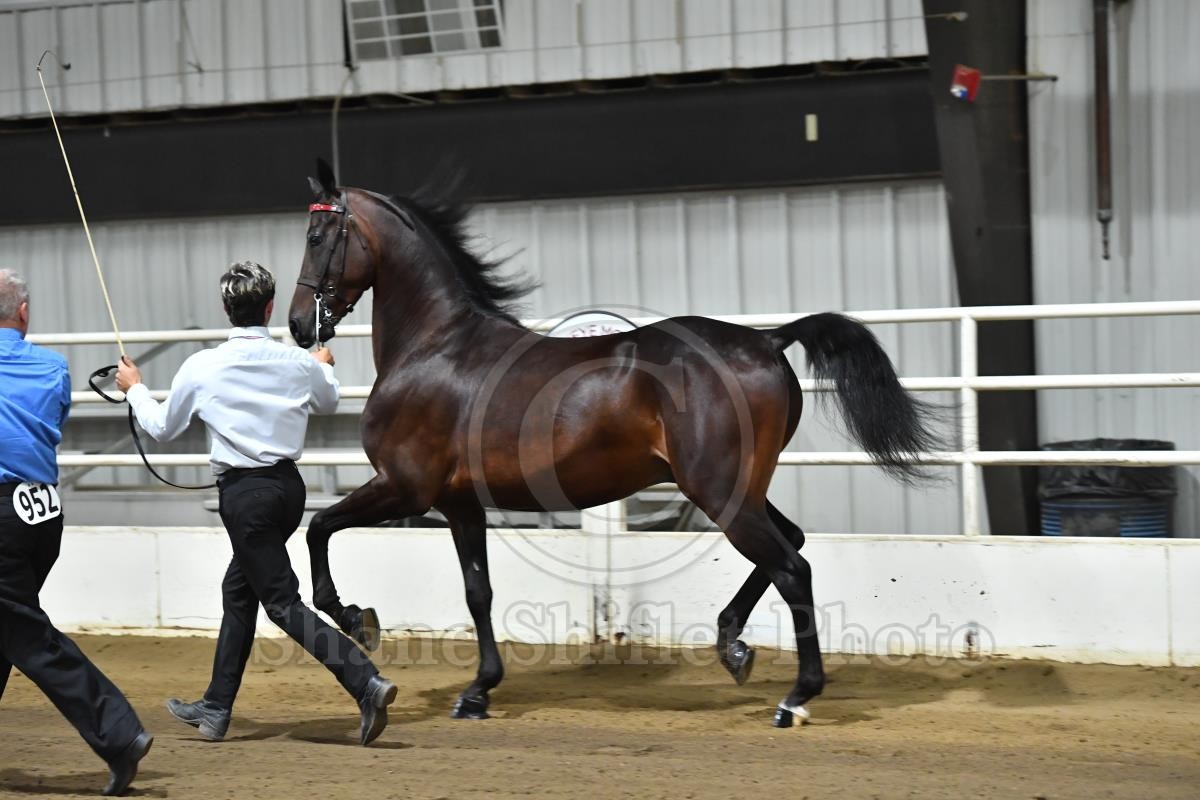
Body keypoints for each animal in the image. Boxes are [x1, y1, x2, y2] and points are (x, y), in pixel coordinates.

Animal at [287, 160, 938, 727]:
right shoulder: (459, 503)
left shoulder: (405, 488)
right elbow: (478, 592)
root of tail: (768, 340)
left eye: (317, 235)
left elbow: (319, 529)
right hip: (742, 489)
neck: (436, 347)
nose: (297, 325)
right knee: (791, 545)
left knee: (792, 566)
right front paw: (477, 692)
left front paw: (356, 618)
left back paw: (795, 697)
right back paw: (733, 646)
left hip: (719, 493)